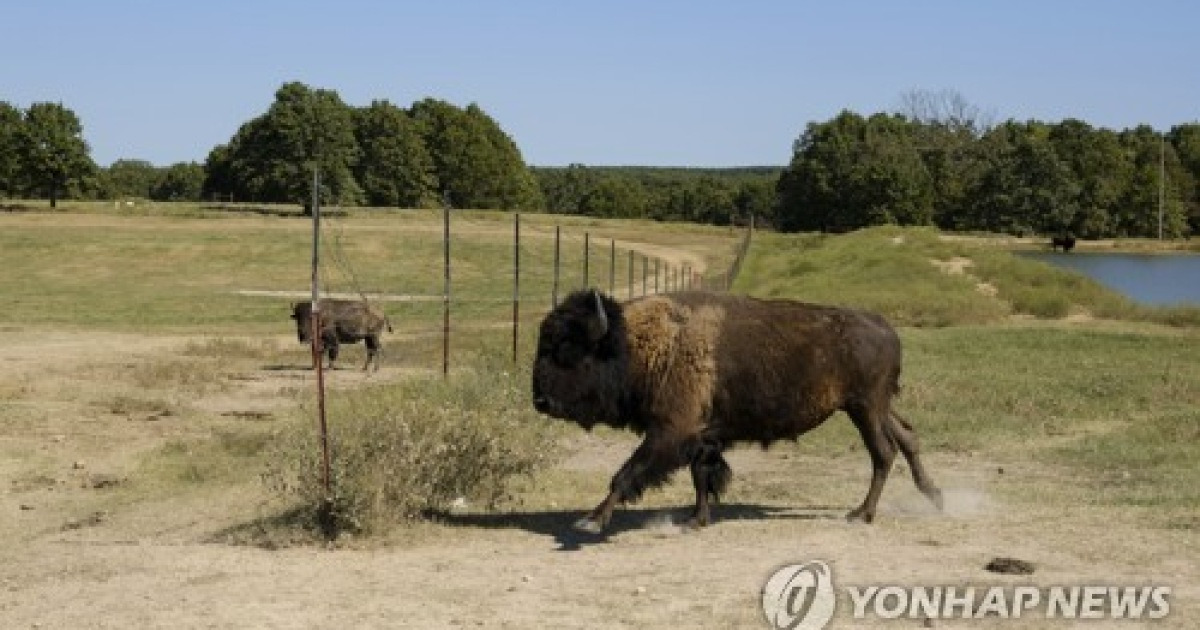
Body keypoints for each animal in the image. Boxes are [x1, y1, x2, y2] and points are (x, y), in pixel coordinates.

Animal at [532, 289, 943, 533]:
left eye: (567, 350)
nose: (540, 402)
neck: (643, 344)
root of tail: (886, 328)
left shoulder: (670, 431)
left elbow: (626, 473)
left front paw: (591, 520)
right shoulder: (702, 436)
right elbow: (701, 476)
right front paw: (695, 519)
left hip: (864, 408)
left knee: (884, 452)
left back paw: (861, 514)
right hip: (875, 407)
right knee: (907, 437)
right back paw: (933, 495)